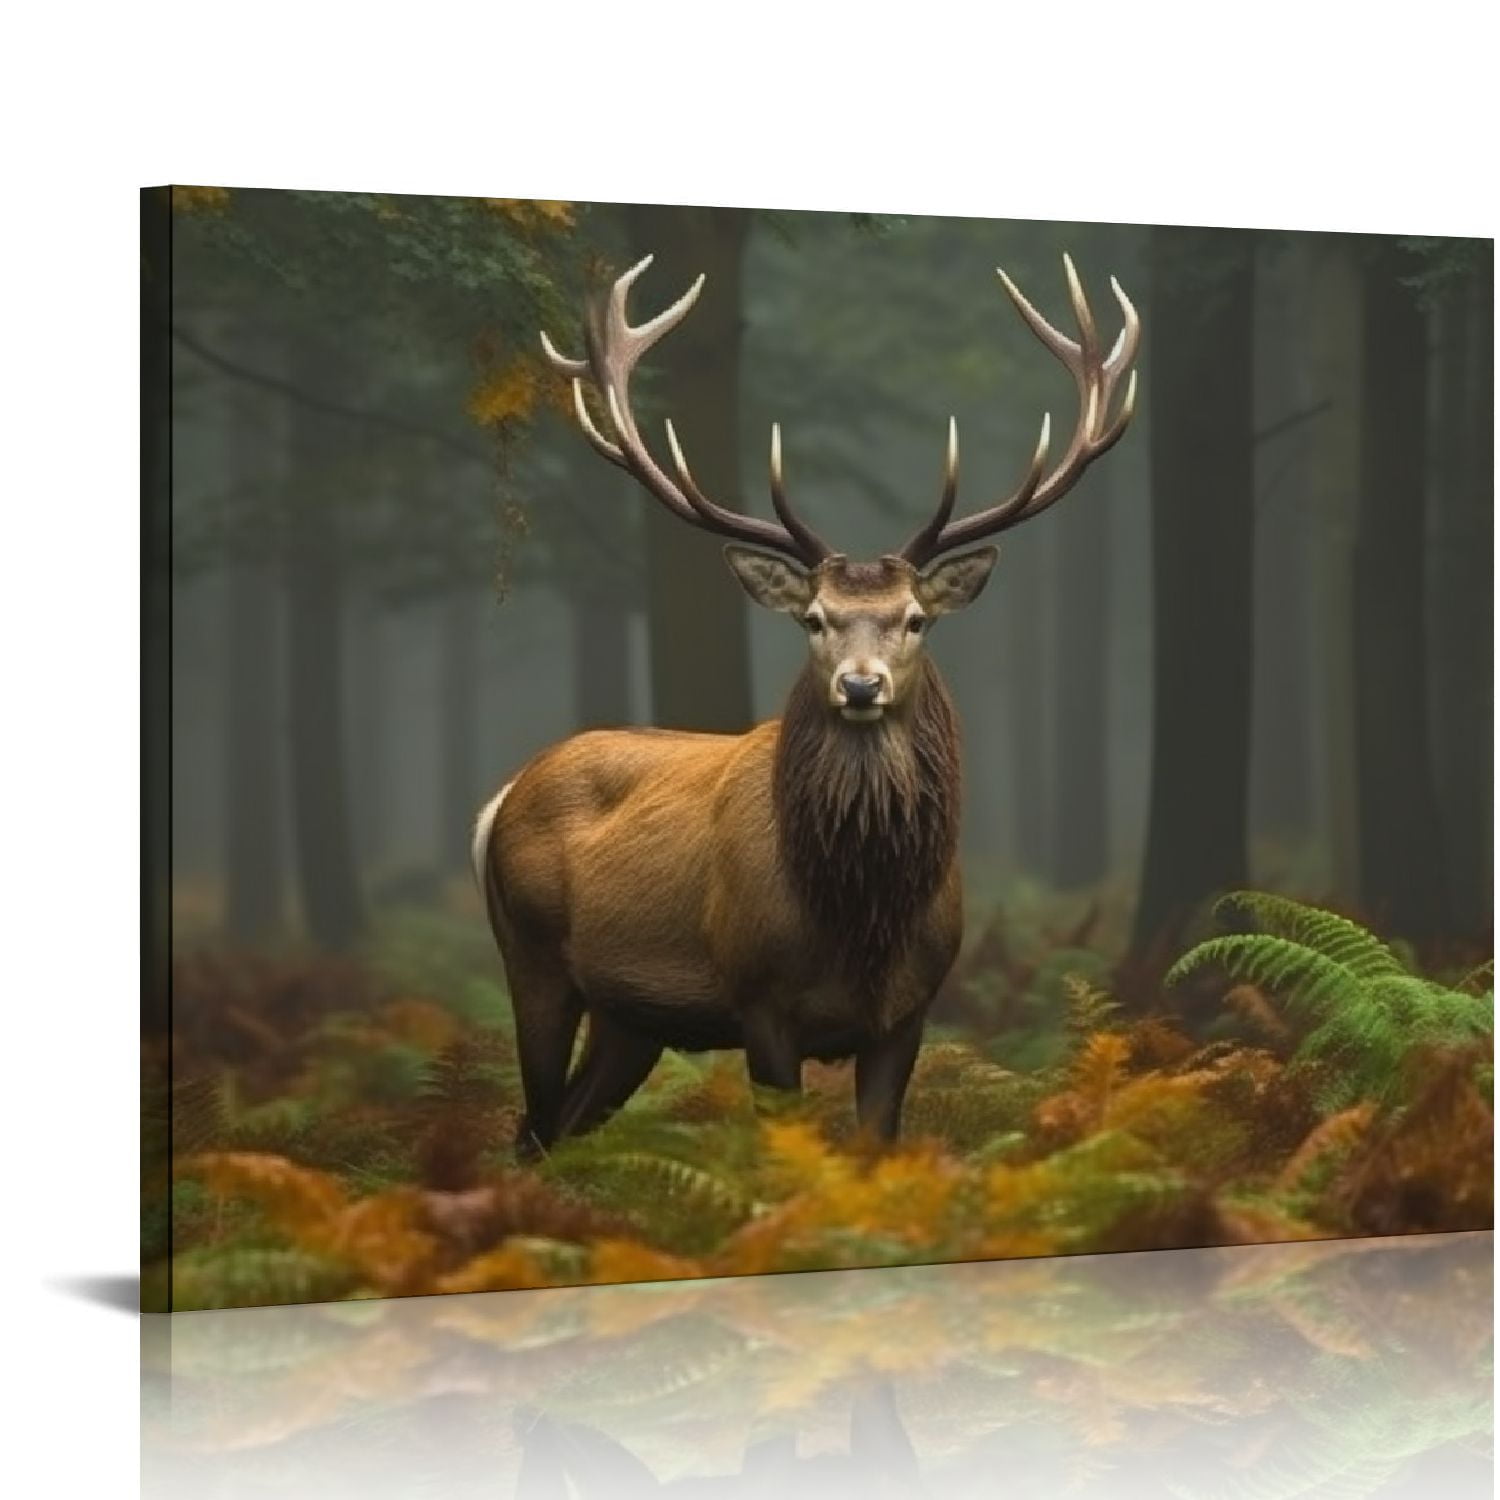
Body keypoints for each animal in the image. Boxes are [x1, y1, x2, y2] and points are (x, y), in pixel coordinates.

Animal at [473, 252, 1140, 1158]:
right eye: (814, 618)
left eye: (915, 618)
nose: (860, 685)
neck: (861, 921)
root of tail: (503, 796)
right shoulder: (758, 997)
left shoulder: (910, 1011)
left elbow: (874, 1150)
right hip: (531, 952)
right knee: (530, 1128)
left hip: (632, 1017)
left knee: (561, 1129)